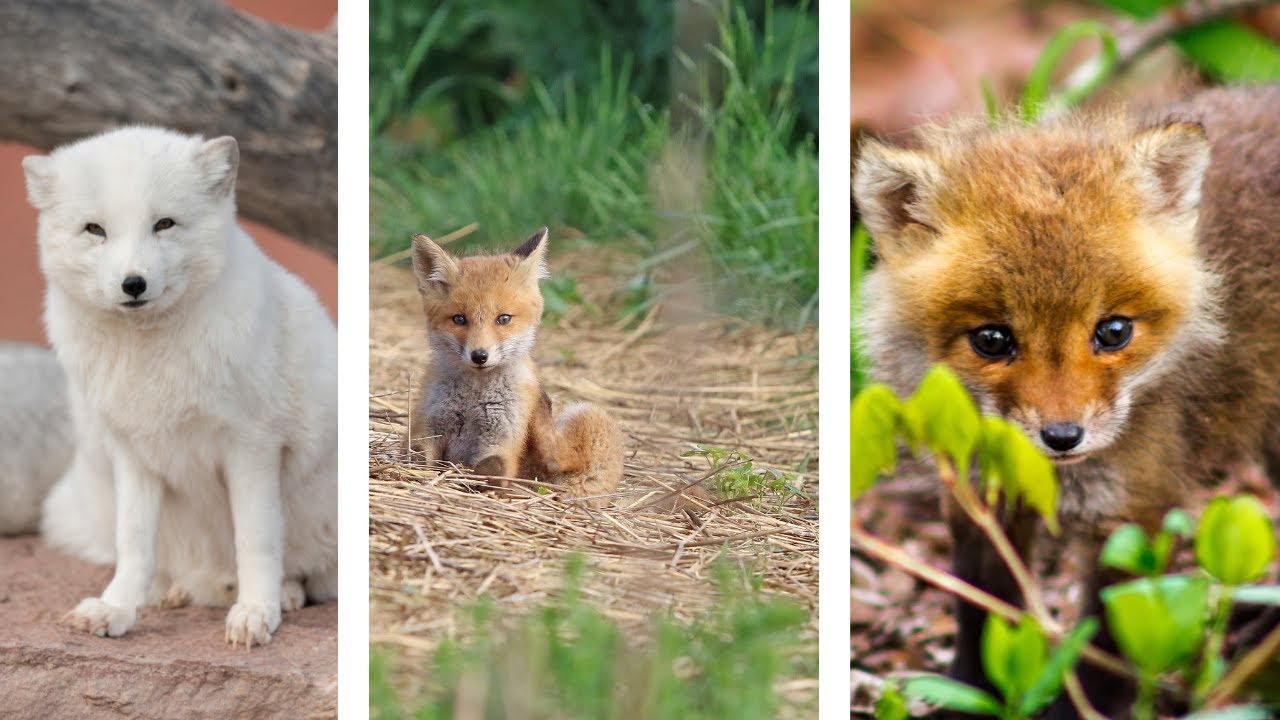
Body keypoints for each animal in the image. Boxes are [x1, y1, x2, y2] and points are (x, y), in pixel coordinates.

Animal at [23, 126, 338, 648]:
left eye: (164, 224)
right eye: (95, 230)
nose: (133, 283)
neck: (150, 354)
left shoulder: (253, 446)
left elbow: (256, 539)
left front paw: (257, 610)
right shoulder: (133, 452)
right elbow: (133, 543)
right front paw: (117, 607)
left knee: (309, 576)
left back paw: (281, 593)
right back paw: (173, 591)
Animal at [405, 228, 624, 506]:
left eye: (504, 318)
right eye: (459, 319)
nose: (480, 356)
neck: (473, 399)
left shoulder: (502, 438)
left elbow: (495, 467)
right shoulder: (428, 428)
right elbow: (417, 455)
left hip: (588, 413)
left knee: (557, 457)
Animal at [854, 85, 1280, 717]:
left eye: (1113, 331)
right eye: (992, 339)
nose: (1061, 437)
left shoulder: (1132, 510)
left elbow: (1110, 642)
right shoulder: (980, 496)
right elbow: (983, 610)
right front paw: (969, 697)